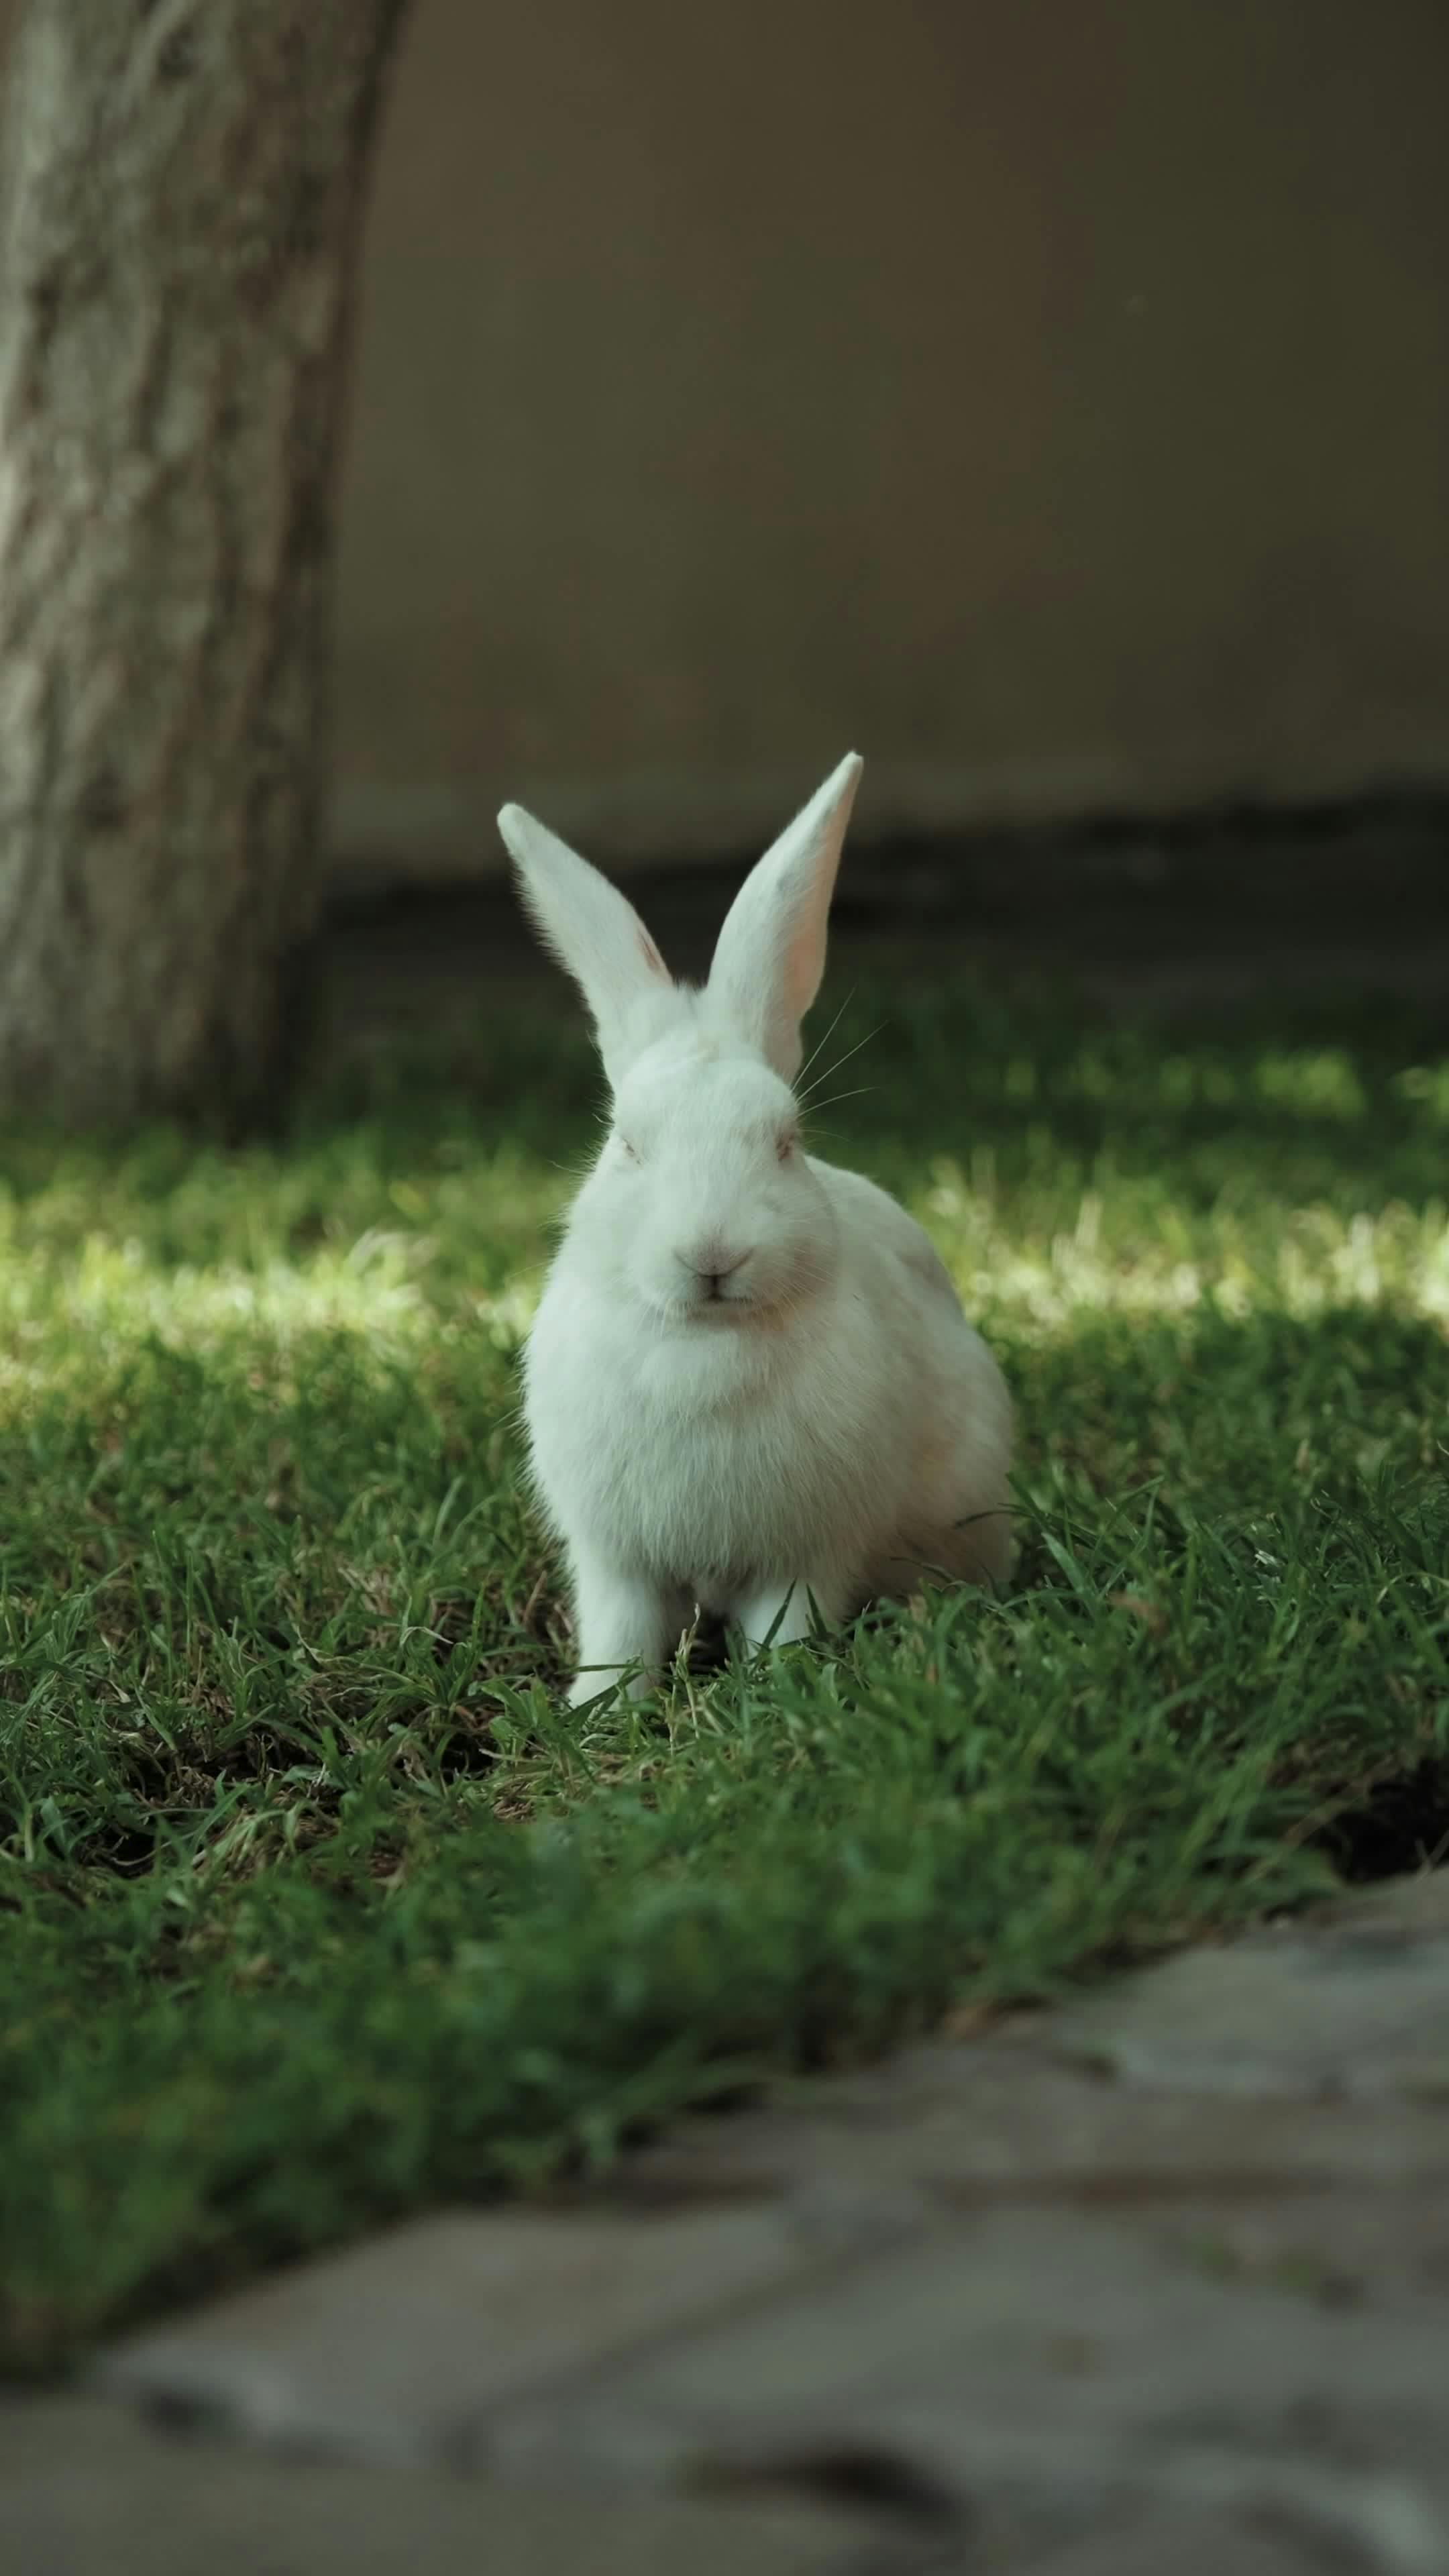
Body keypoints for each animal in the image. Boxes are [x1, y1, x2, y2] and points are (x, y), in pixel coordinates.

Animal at [497, 752, 1013, 1706]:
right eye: (626, 1143)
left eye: (786, 1141)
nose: (712, 1254)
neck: (702, 1341)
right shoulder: (616, 1563)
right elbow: (621, 1635)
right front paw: (597, 1710)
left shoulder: (804, 1558)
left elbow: (787, 1626)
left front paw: (782, 1695)